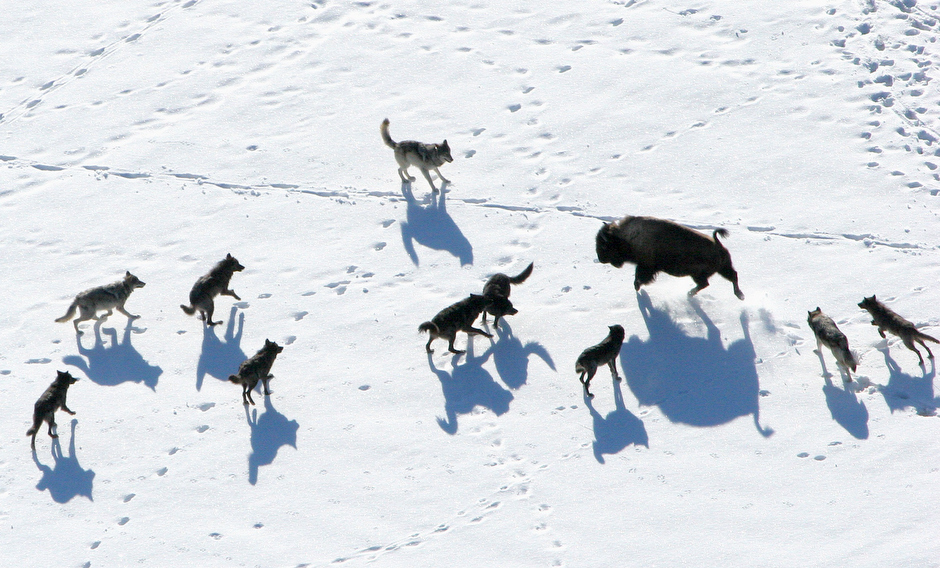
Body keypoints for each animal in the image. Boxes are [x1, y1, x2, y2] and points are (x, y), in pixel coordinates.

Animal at [596, 215, 744, 300]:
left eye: (603, 245)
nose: (600, 259)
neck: (625, 237)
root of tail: (718, 244)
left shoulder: (646, 266)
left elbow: (639, 277)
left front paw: (637, 287)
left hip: (700, 274)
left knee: (708, 283)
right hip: (721, 269)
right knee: (730, 276)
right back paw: (740, 295)